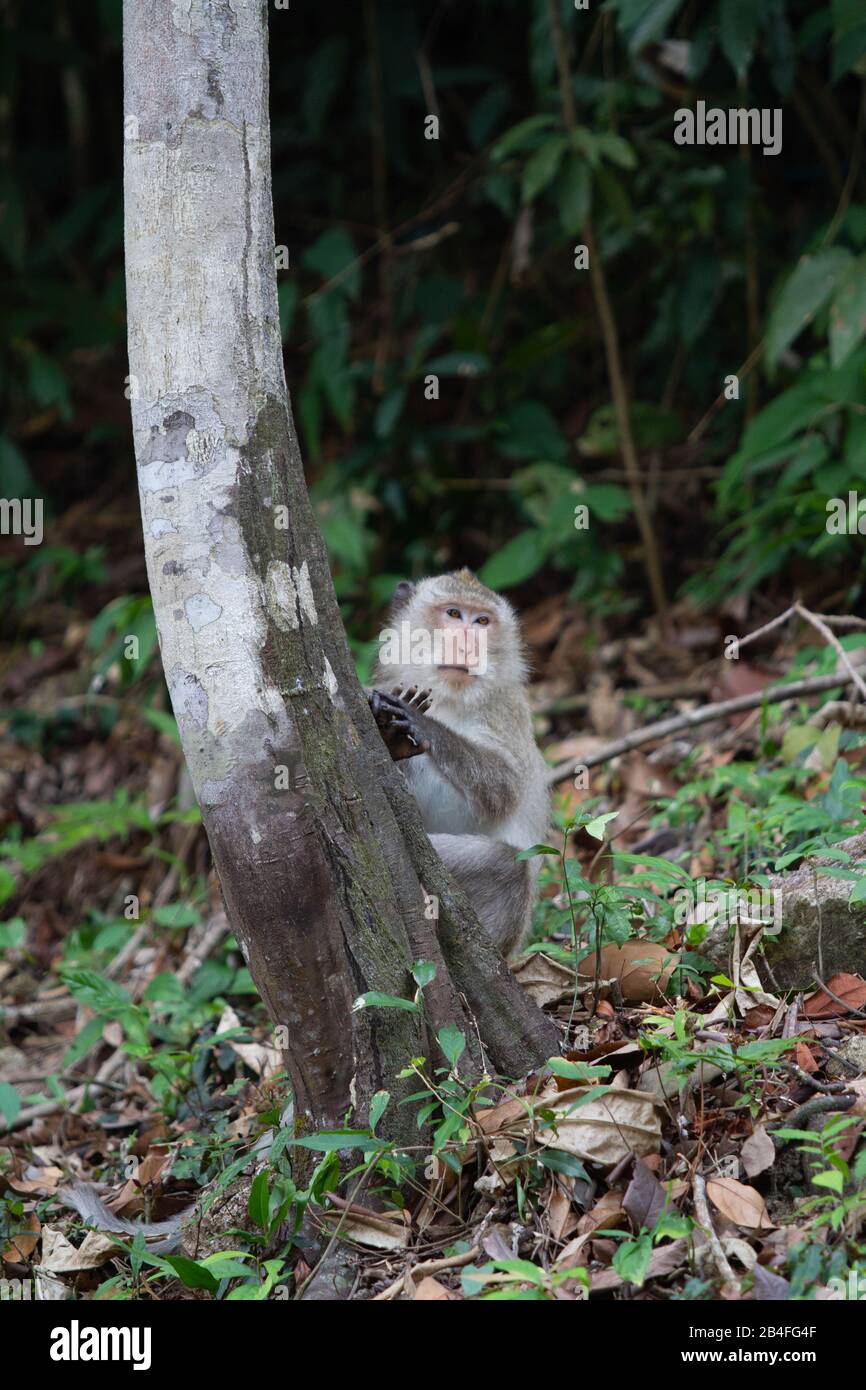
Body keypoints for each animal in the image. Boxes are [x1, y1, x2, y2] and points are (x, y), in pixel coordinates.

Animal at [368, 568, 550, 956]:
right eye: (453, 614)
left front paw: (420, 725)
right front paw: (389, 738)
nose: (467, 642)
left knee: (508, 867)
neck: (448, 698)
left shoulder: (505, 708)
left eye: (482, 621)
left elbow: (505, 788)